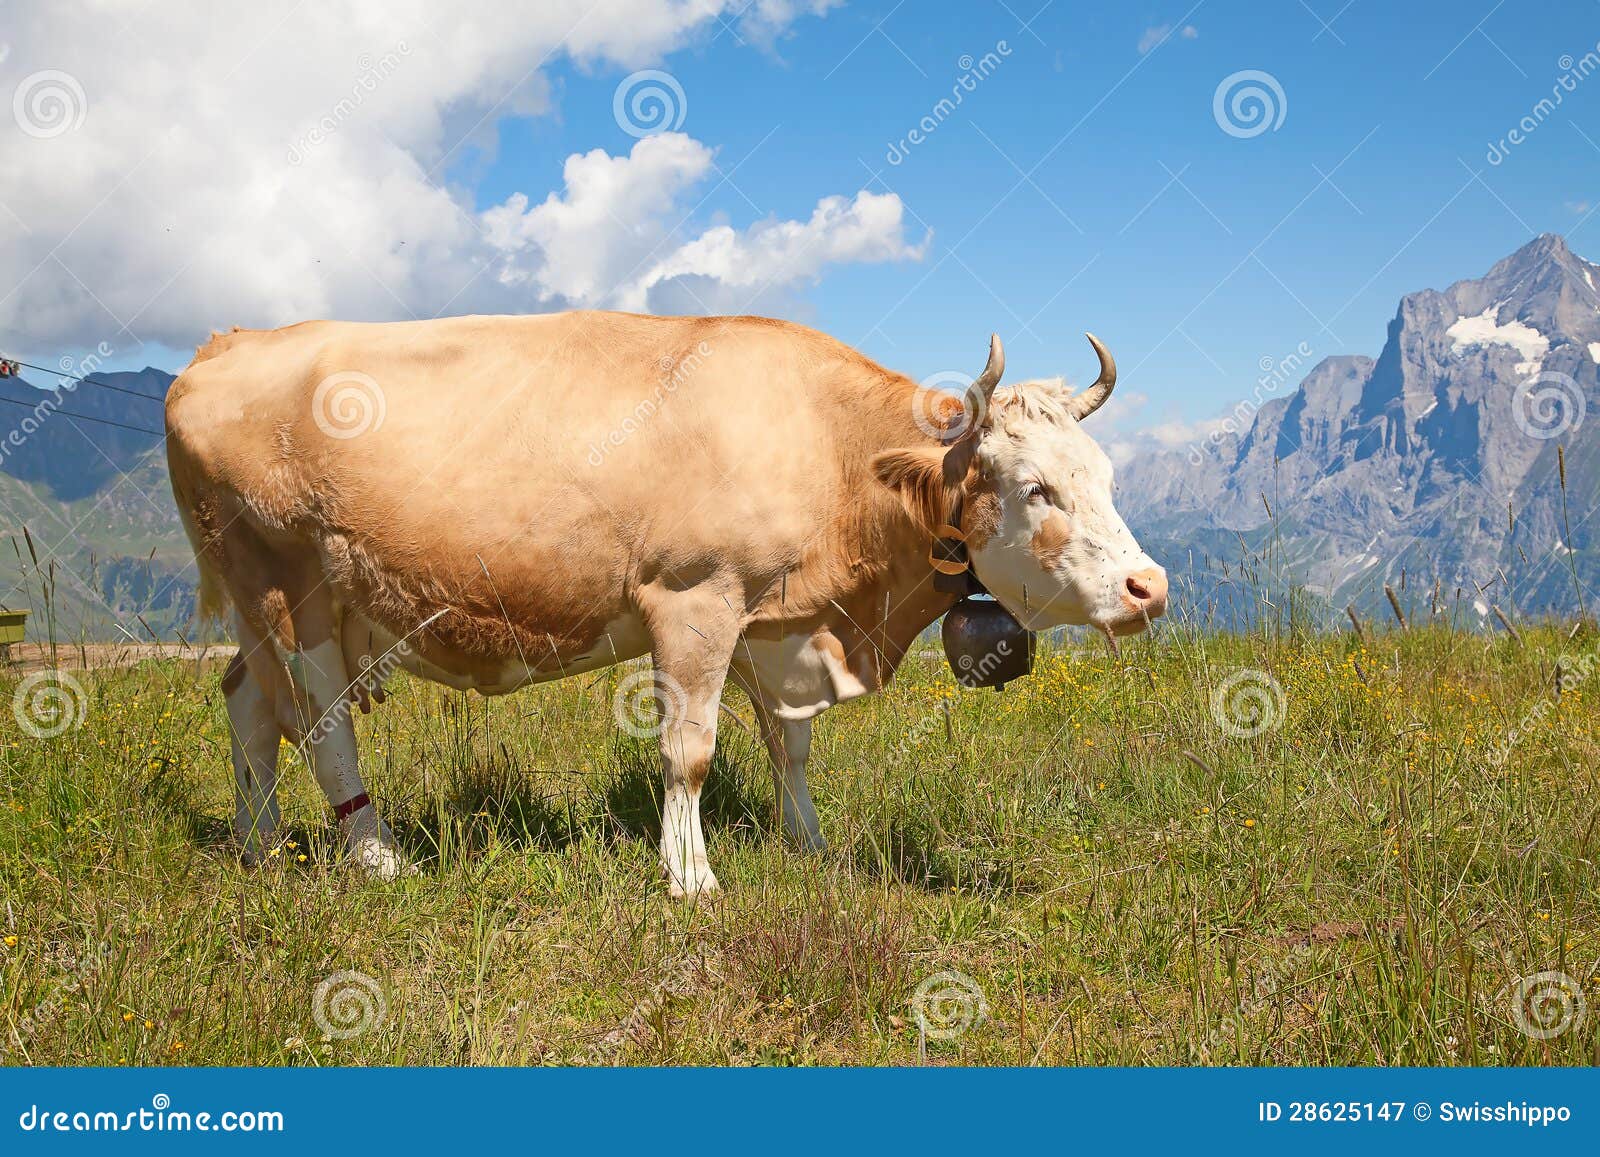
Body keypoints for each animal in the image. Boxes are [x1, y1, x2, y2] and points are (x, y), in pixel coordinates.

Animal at [164, 312, 1167, 898]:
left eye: (1107, 476)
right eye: (1036, 488)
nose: (1149, 586)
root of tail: (226, 344)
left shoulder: (773, 619)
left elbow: (789, 745)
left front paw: (806, 842)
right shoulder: (695, 599)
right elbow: (691, 751)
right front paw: (690, 876)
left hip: (297, 608)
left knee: (247, 706)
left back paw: (261, 848)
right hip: (285, 586)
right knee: (322, 726)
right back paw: (373, 857)